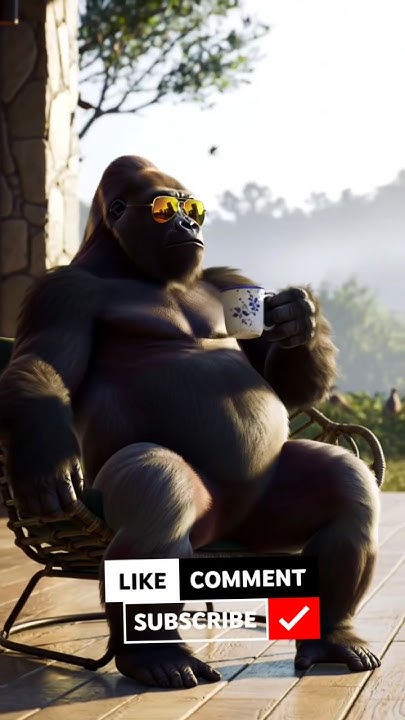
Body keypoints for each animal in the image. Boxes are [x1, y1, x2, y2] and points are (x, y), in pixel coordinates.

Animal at [0, 155, 380, 689]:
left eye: (192, 209)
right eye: (164, 208)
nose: (188, 225)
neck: (129, 264)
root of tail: (226, 532)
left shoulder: (228, 276)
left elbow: (285, 387)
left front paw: (296, 317)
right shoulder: (62, 292)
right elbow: (41, 364)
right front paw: (45, 458)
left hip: (259, 524)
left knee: (347, 491)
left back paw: (332, 635)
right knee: (158, 494)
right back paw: (156, 655)